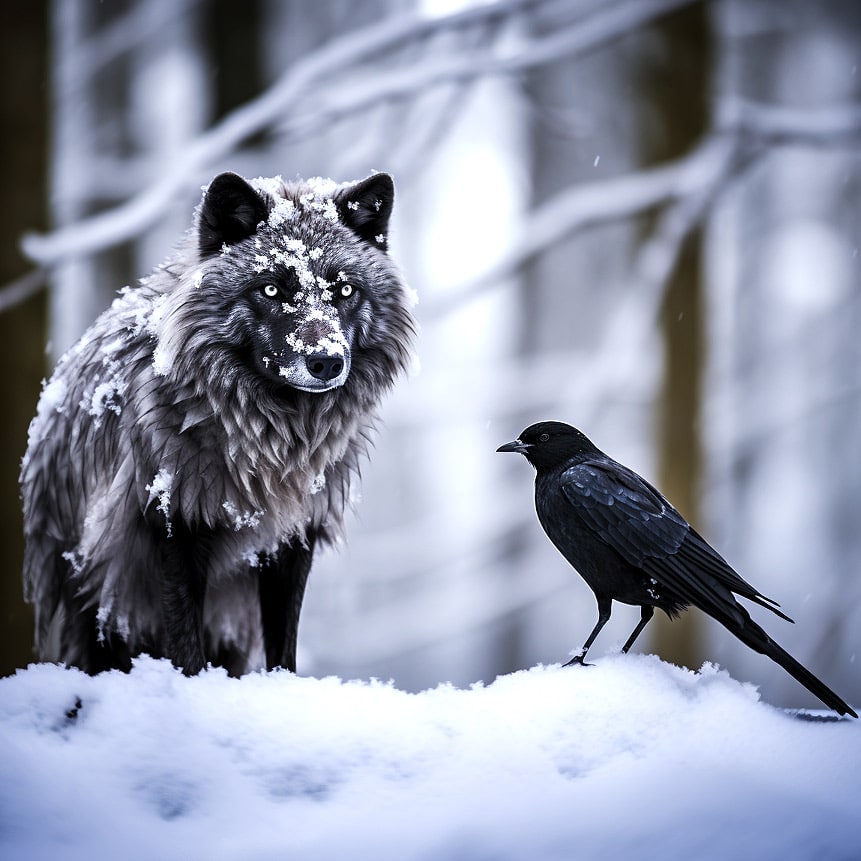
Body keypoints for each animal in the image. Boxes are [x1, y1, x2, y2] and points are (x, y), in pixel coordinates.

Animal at [21, 170, 416, 676]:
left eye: (345, 291)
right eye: (271, 289)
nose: (326, 362)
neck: (273, 444)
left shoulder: (291, 538)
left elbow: (283, 650)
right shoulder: (172, 530)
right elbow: (186, 649)